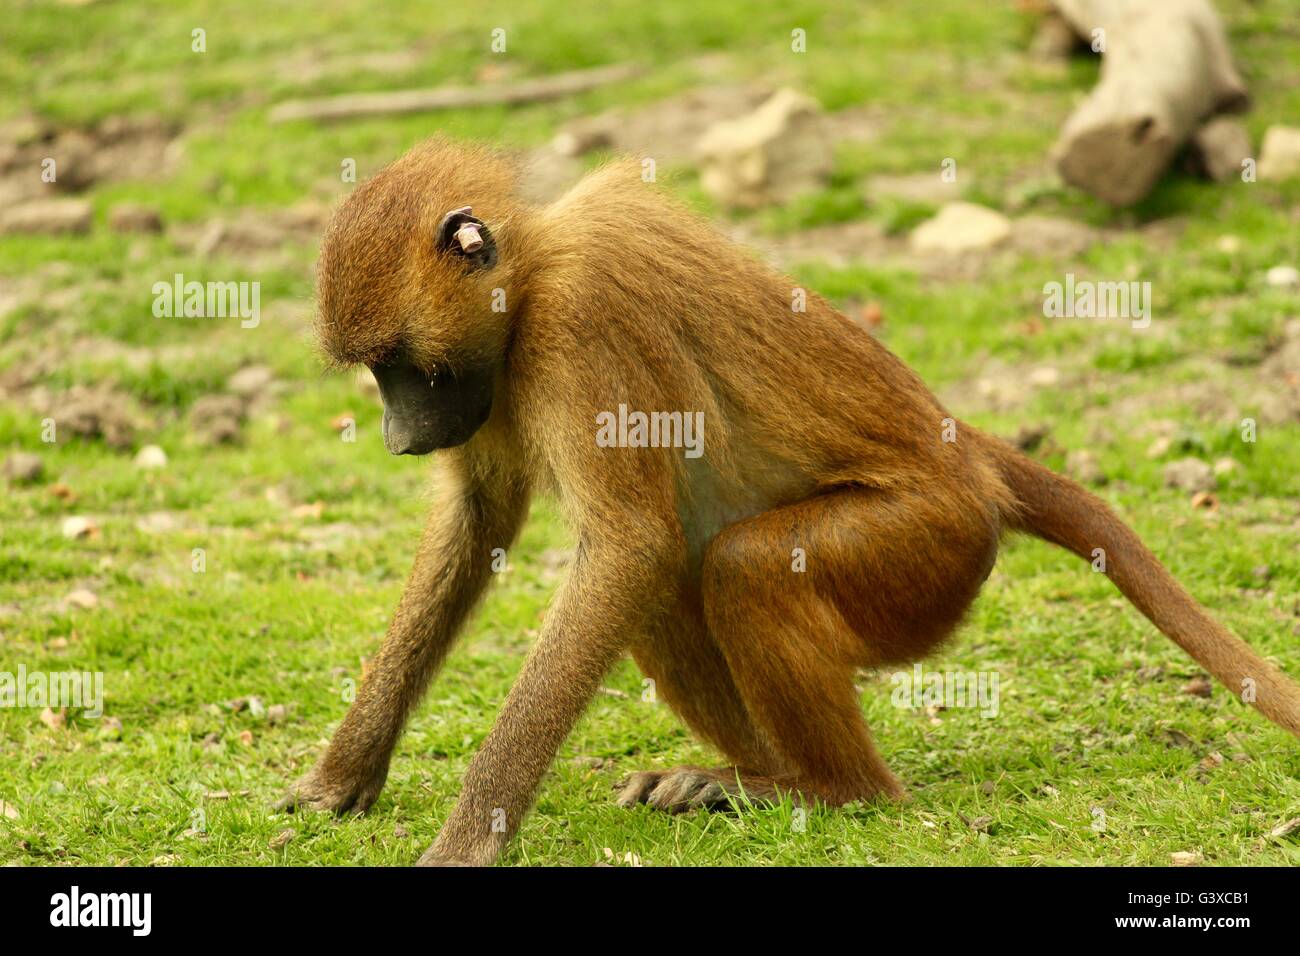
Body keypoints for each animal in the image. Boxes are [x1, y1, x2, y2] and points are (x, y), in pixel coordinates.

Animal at [281, 137, 1300, 866]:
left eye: (400, 368)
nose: (398, 436)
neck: (530, 276)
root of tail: (967, 457)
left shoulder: (575, 330)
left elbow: (627, 547)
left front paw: (467, 842)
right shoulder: (490, 381)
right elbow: (486, 526)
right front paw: (341, 779)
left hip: (927, 548)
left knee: (746, 567)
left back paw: (829, 790)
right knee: (674, 591)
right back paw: (751, 775)